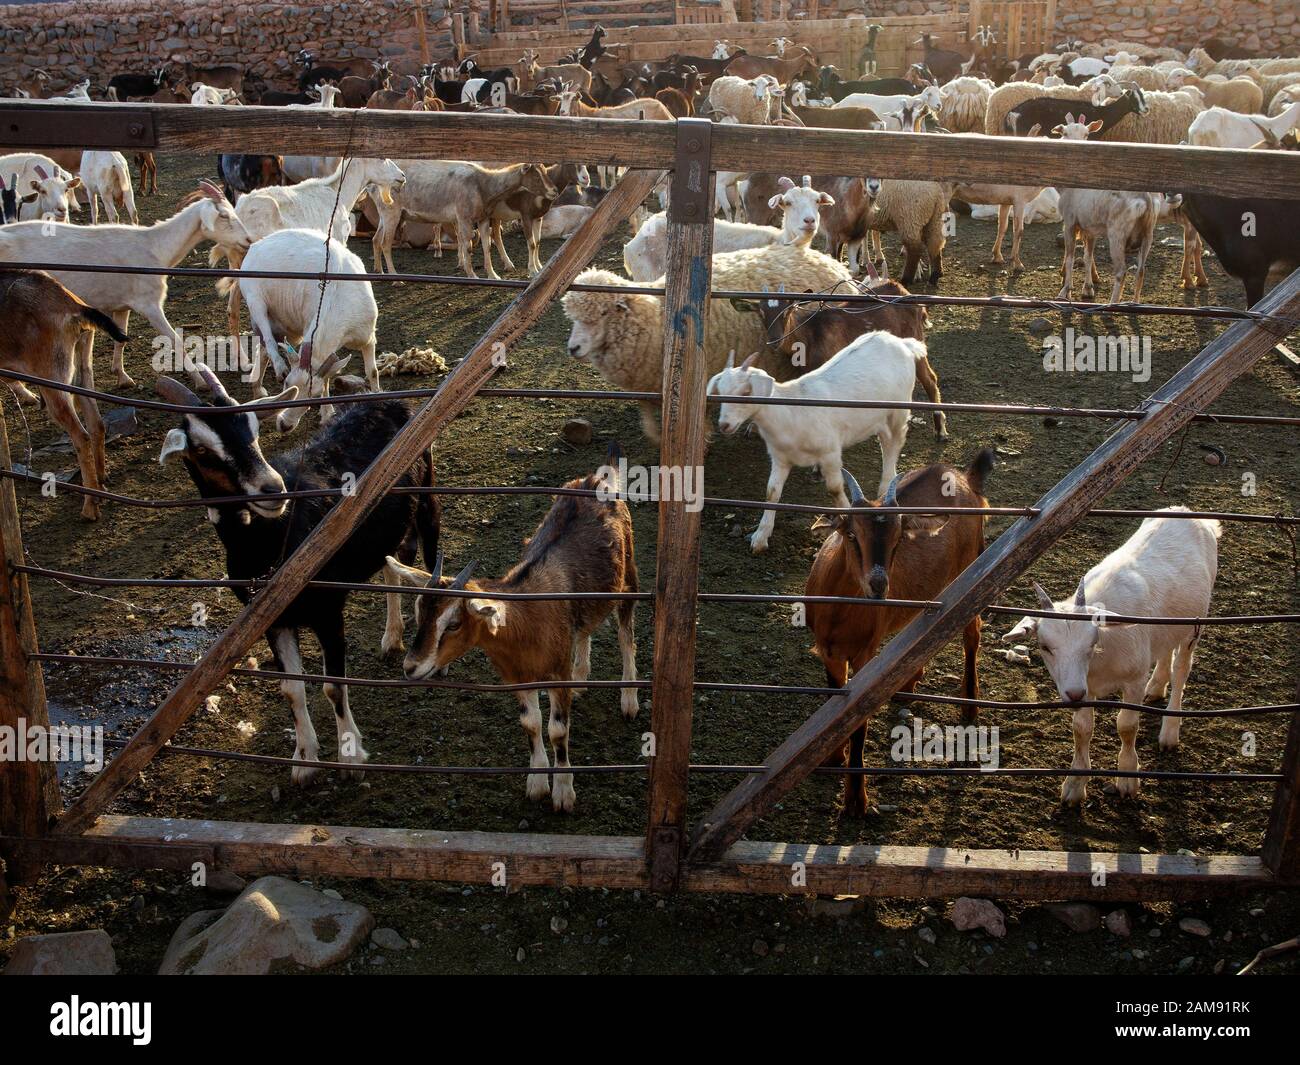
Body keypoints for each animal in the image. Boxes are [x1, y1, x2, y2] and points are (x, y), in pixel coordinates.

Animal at [0, 269, 129, 519]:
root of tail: (71, 304)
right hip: (82, 367)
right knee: (96, 423)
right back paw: (100, 482)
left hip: (53, 379)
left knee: (81, 435)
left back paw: (90, 506)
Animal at [158, 371, 440, 785]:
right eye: (204, 451)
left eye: (253, 431)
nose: (273, 489)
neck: (273, 540)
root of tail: (387, 399)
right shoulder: (269, 620)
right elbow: (291, 689)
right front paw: (304, 759)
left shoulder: (327, 610)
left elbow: (334, 687)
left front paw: (350, 758)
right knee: (392, 561)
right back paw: (391, 638)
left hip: (428, 493)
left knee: (432, 549)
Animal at [386, 446, 639, 812]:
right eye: (419, 613)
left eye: (454, 623)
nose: (410, 666)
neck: (525, 622)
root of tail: (598, 477)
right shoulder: (517, 676)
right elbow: (530, 724)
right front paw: (537, 783)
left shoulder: (555, 673)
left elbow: (558, 730)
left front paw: (563, 792)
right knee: (584, 628)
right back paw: (582, 675)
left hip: (628, 574)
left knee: (626, 632)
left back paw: (630, 698)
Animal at [806, 451, 994, 814]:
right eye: (851, 534)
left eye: (897, 540)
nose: (879, 584)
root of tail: (964, 477)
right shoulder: (828, 650)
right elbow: (833, 703)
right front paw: (834, 757)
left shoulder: (865, 654)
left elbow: (858, 722)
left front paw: (856, 800)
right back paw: (907, 685)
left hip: (970, 570)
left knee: (971, 635)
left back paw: (969, 702)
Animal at [1003, 510, 1221, 805]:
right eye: (1044, 646)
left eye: (1092, 641)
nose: (1073, 694)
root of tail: (1188, 513)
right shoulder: (1086, 686)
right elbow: (1082, 728)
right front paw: (1074, 786)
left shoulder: (1133, 679)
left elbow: (1127, 726)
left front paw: (1127, 779)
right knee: (1164, 650)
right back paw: (1156, 687)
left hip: (1194, 624)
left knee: (1181, 669)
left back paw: (1169, 731)